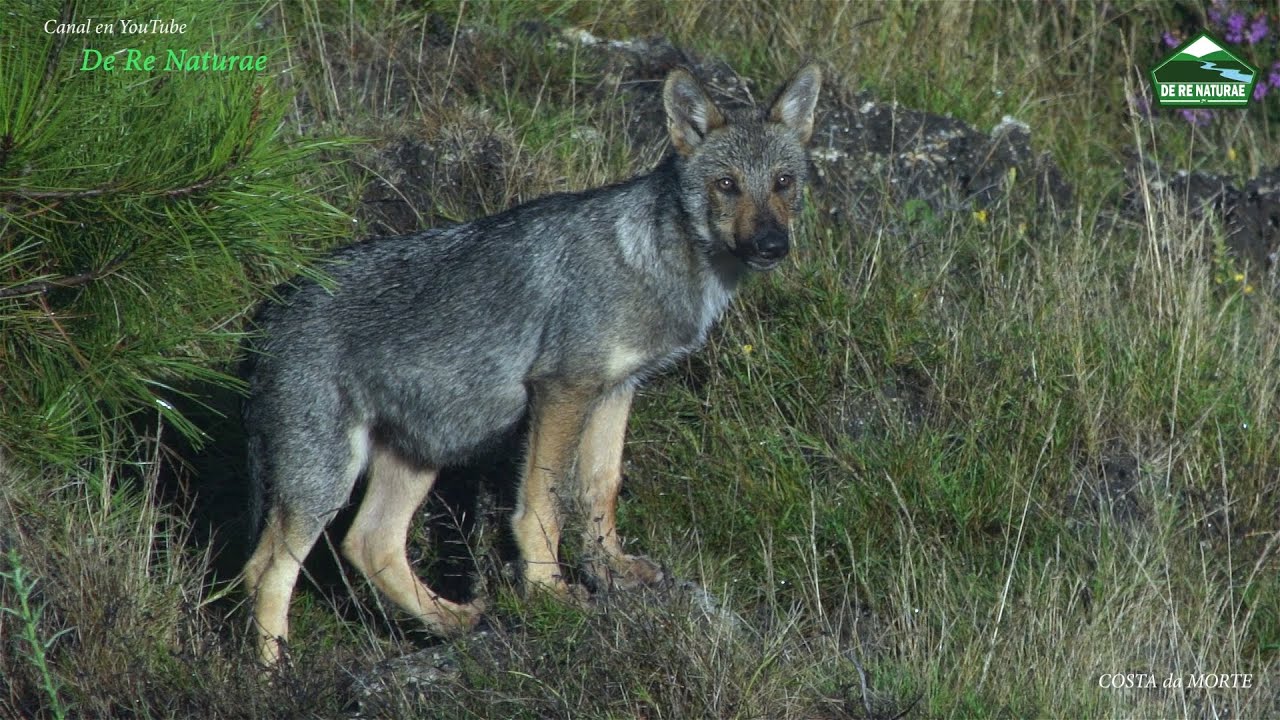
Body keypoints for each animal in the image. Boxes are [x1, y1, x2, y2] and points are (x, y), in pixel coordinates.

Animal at [241, 63, 822, 664]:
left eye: (783, 182)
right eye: (727, 184)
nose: (773, 244)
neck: (651, 261)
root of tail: (269, 313)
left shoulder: (616, 391)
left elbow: (600, 487)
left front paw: (610, 570)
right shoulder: (563, 390)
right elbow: (544, 503)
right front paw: (550, 591)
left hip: (419, 456)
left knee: (364, 545)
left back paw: (455, 621)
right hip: (325, 480)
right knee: (269, 571)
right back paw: (273, 672)